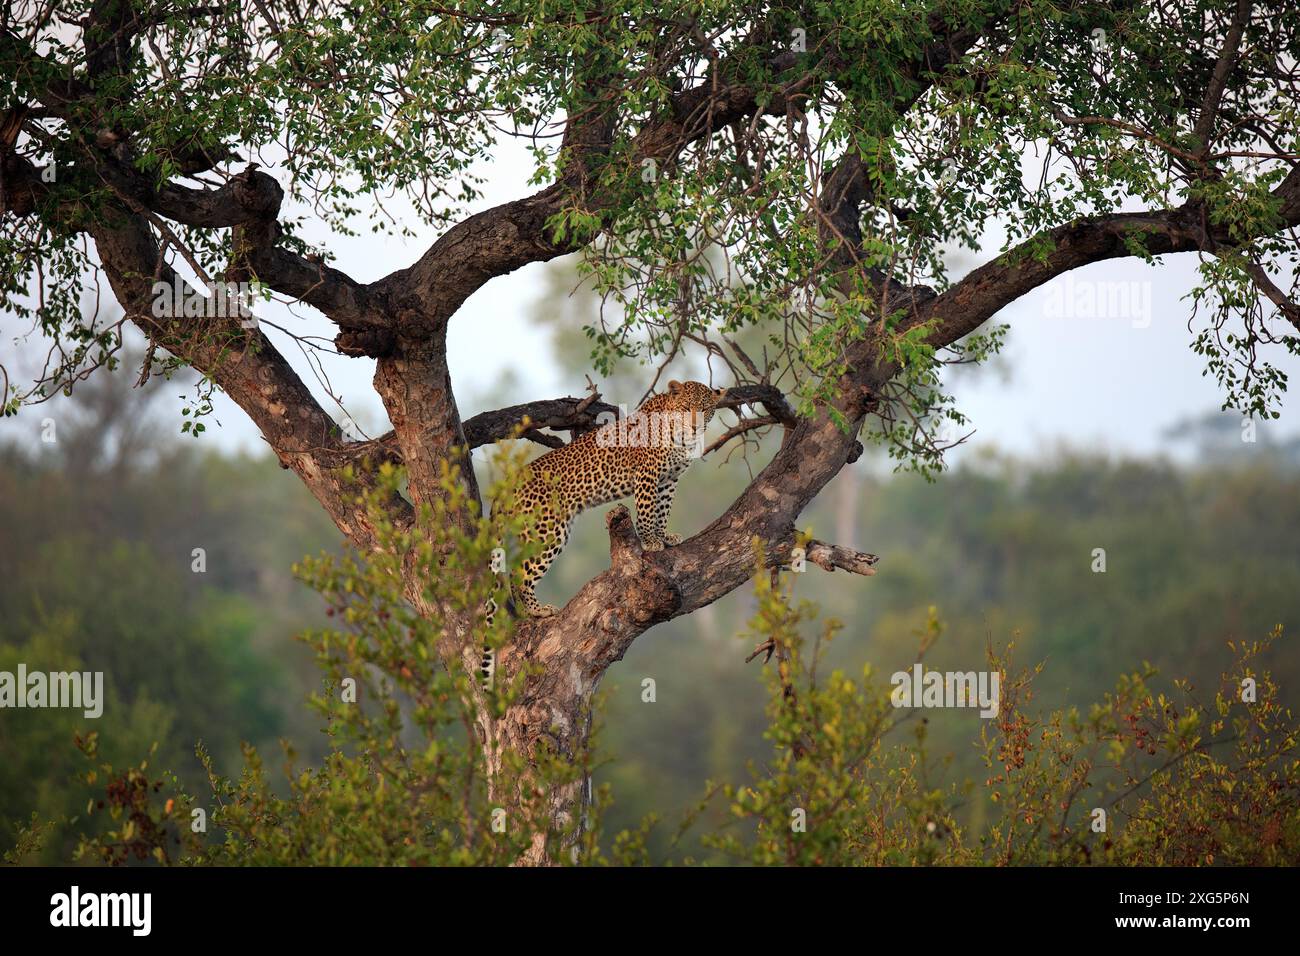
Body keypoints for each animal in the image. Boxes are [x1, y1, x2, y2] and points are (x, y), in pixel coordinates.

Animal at [480, 380, 725, 687]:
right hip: (549, 530)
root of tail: (511, 481)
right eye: (685, 408)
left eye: (704, 409)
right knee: (520, 573)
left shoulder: (669, 480)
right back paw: (536, 611)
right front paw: (650, 541)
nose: (694, 426)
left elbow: (663, 509)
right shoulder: (648, 475)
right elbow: (647, 510)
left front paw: (665, 537)